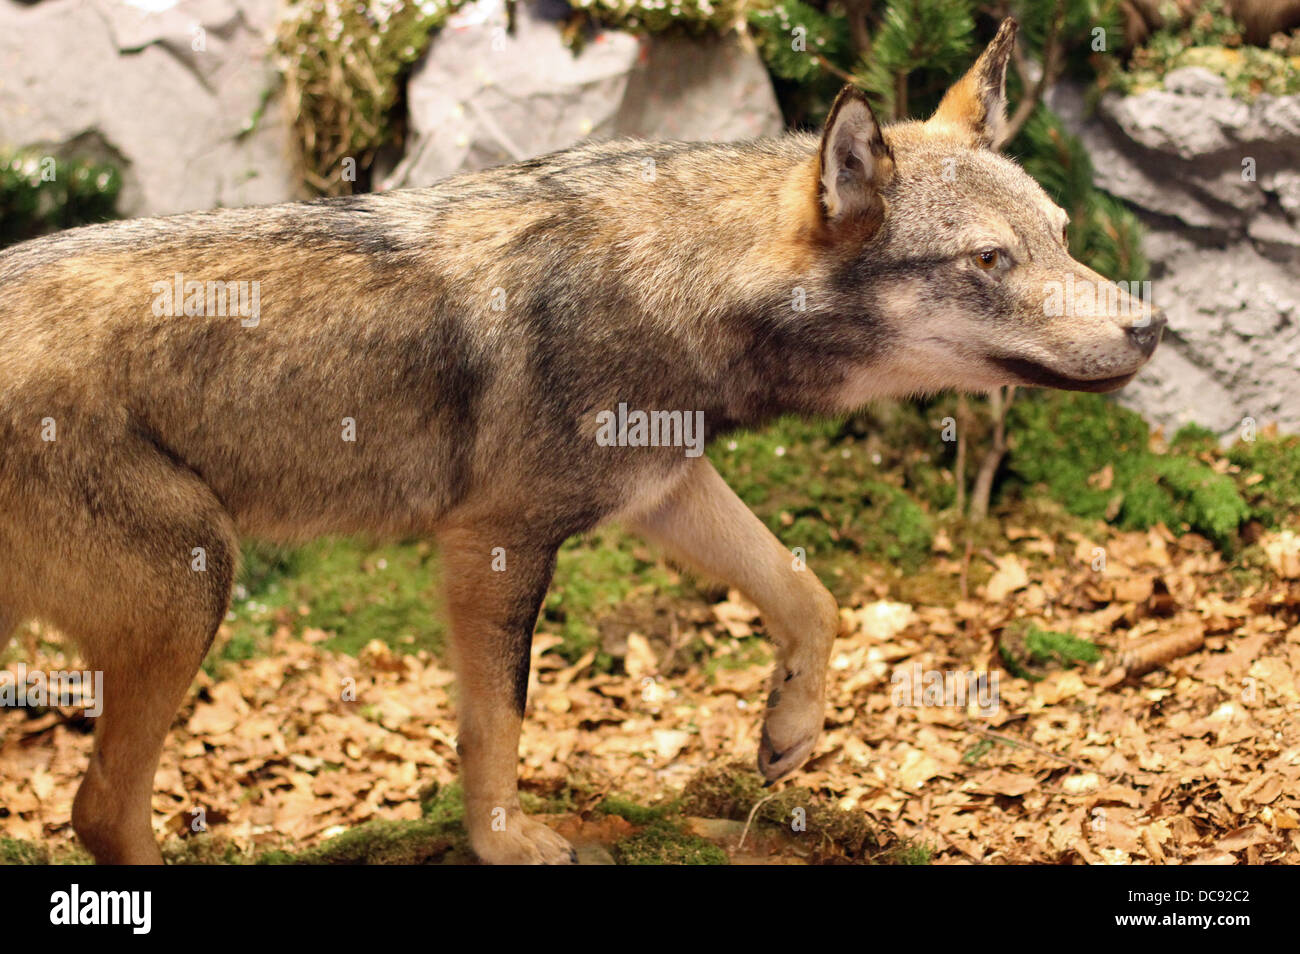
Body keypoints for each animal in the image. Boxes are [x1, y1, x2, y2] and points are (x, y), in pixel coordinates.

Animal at [0, 18, 1162, 864]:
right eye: (991, 261)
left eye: (1063, 237)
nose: (1149, 325)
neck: (682, 286)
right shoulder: (493, 544)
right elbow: (497, 725)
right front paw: (508, 845)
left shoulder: (664, 485)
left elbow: (809, 595)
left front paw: (789, 733)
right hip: (197, 582)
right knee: (100, 811)